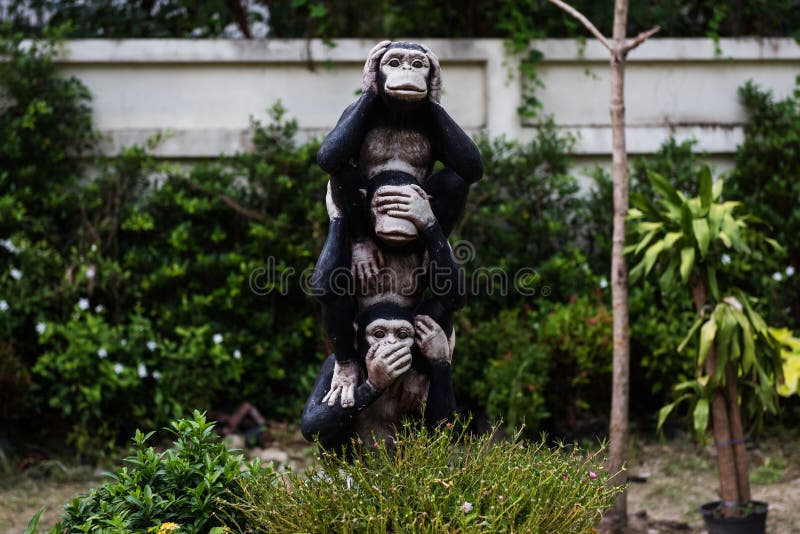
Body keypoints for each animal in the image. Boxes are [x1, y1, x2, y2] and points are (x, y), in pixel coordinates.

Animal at [301, 302, 455, 451]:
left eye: (402, 335)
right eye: (379, 334)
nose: (391, 343)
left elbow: (442, 429)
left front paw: (436, 345)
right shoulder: (330, 365)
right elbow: (310, 421)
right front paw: (380, 374)